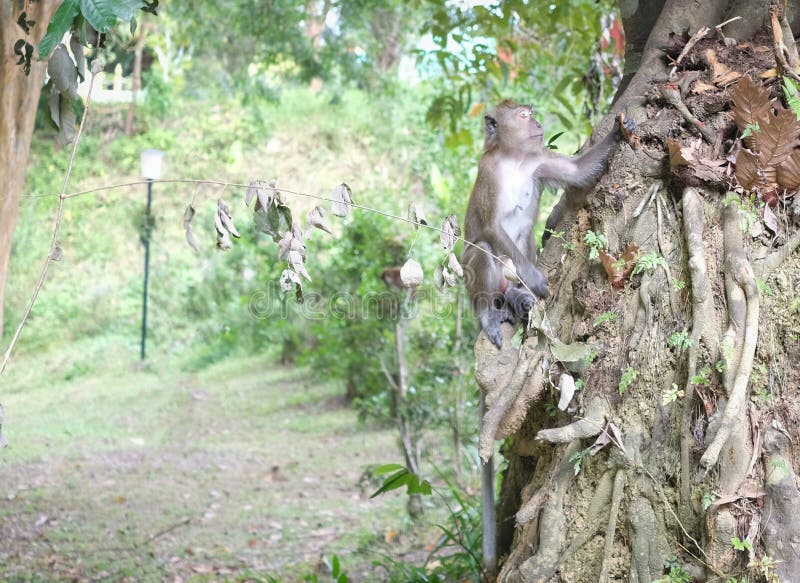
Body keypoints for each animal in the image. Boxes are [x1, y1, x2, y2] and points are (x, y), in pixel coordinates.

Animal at [462, 99, 630, 350]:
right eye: (524, 116)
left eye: (531, 114)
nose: (538, 123)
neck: (514, 158)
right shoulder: (488, 170)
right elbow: (491, 226)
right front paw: (533, 277)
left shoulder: (538, 158)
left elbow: (577, 171)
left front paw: (617, 131)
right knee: (482, 248)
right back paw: (487, 314)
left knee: (526, 237)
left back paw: (515, 294)